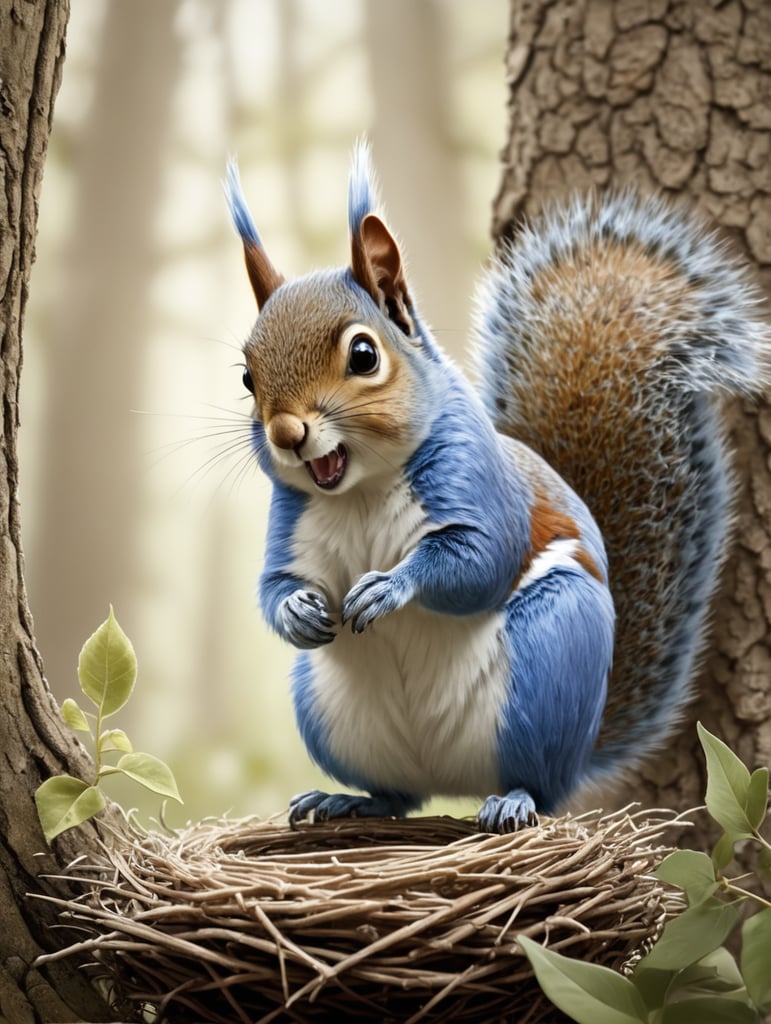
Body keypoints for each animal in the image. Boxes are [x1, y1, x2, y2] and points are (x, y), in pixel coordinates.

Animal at [225, 143, 770, 833]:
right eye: (247, 376)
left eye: (364, 355)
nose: (287, 433)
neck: (360, 489)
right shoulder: (291, 520)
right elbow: (274, 585)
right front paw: (297, 610)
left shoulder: (479, 486)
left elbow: (479, 561)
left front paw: (388, 587)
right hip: (328, 712)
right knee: (399, 796)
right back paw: (348, 800)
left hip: (549, 661)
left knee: (540, 785)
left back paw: (513, 799)